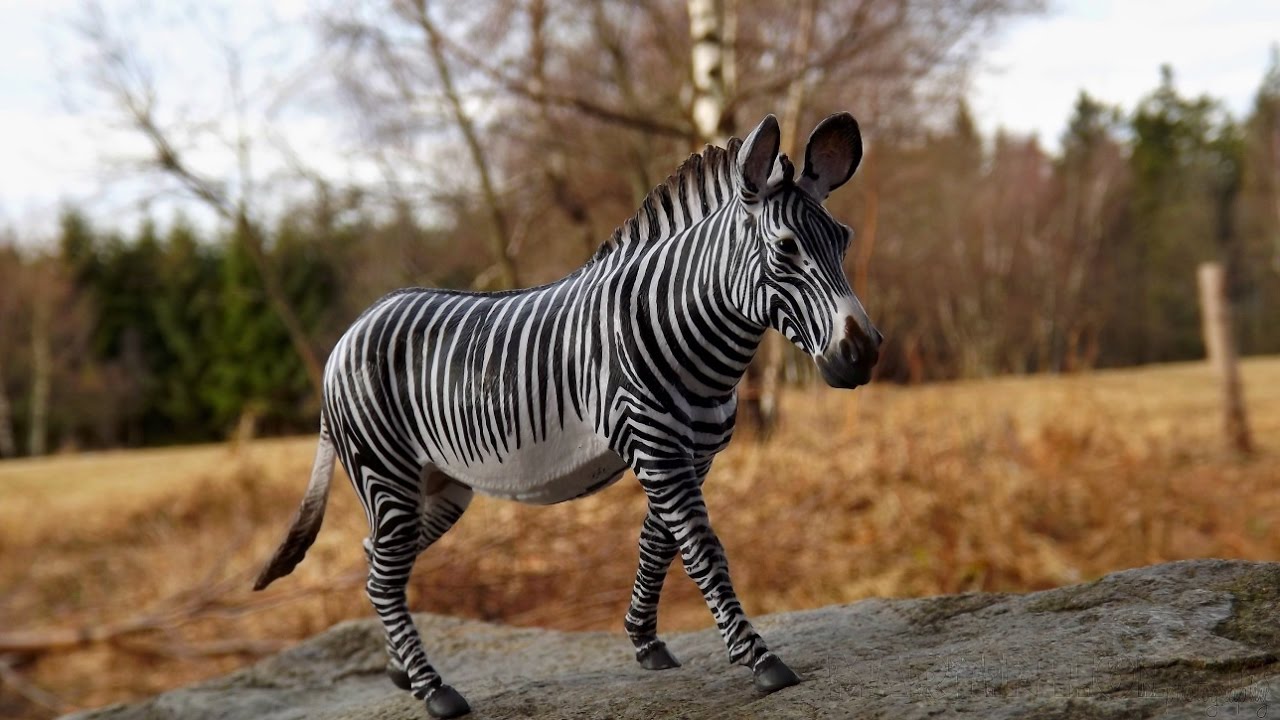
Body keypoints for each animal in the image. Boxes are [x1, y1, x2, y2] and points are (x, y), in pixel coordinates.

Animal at [253, 112, 881, 719]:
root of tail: (349, 333)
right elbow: (703, 549)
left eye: (845, 240)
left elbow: (657, 542)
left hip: (438, 484)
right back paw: (435, 691)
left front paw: (645, 642)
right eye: (785, 250)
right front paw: (760, 659)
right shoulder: (657, 447)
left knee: (376, 559)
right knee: (385, 575)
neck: (682, 325)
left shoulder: (693, 454)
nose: (863, 354)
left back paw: (400, 671)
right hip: (386, 470)